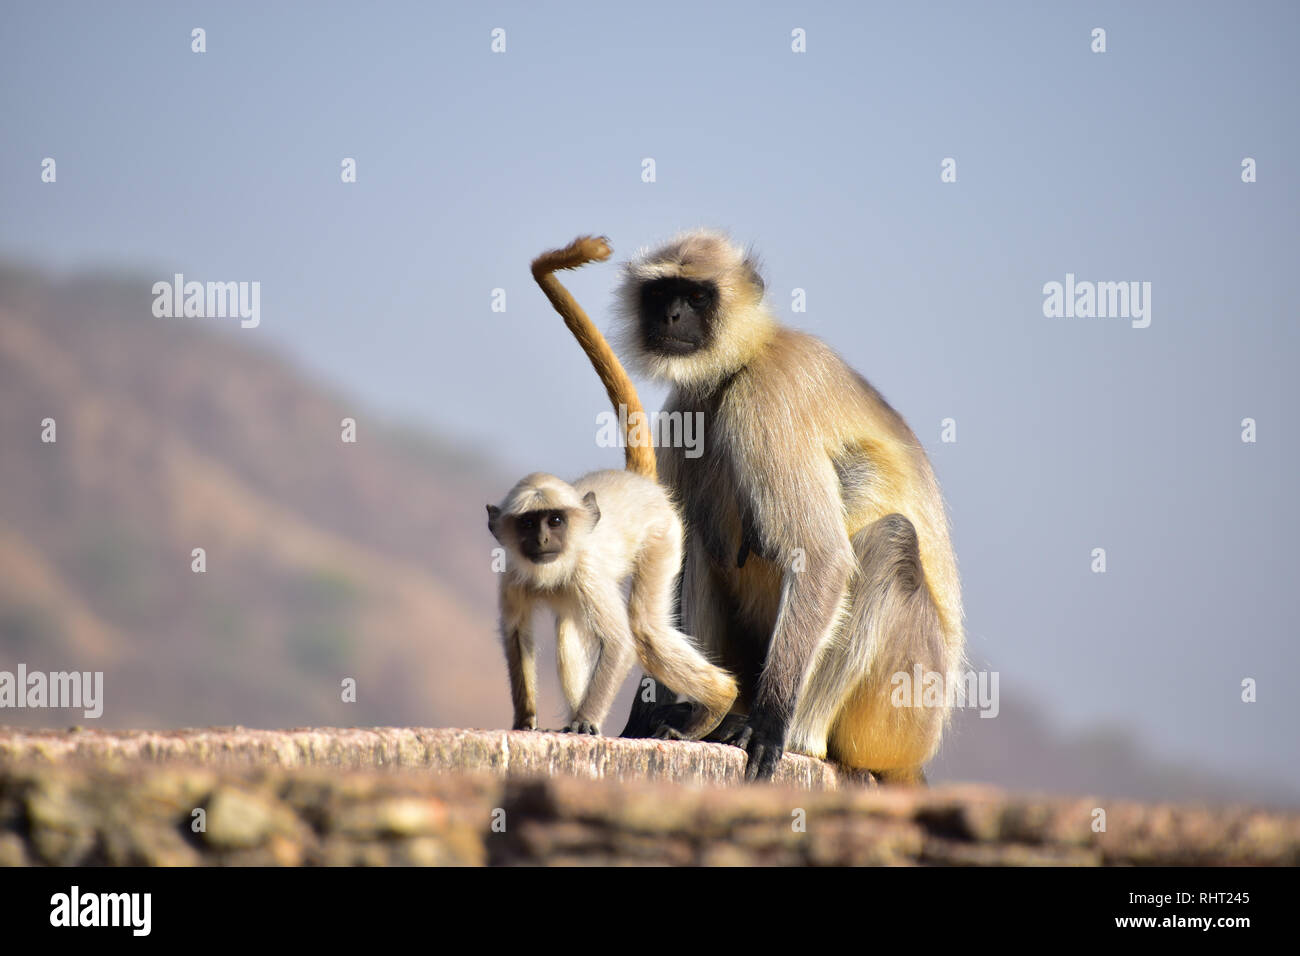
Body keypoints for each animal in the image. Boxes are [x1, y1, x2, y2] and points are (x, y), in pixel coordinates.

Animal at [485, 236, 738, 740]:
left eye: (555, 520)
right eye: (528, 525)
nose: (543, 540)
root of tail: (637, 481)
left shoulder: (584, 572)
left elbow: (622, 642)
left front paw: (585, 722)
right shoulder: (513, 576)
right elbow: (517, 635)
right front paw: (525, 720)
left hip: (663, 536)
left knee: (644, 630)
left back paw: (718, 701)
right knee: (568, 629)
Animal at [614, 228, 965, 784]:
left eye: (697, 297)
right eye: (661, 293)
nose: (670, 316)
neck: (745, 359)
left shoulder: (767, 396)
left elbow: (821, 556)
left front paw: (770, 723)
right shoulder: (686, 408)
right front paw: (647, 710)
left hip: (907, 704)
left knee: (891, 541)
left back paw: (797, 734)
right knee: (700, 549)